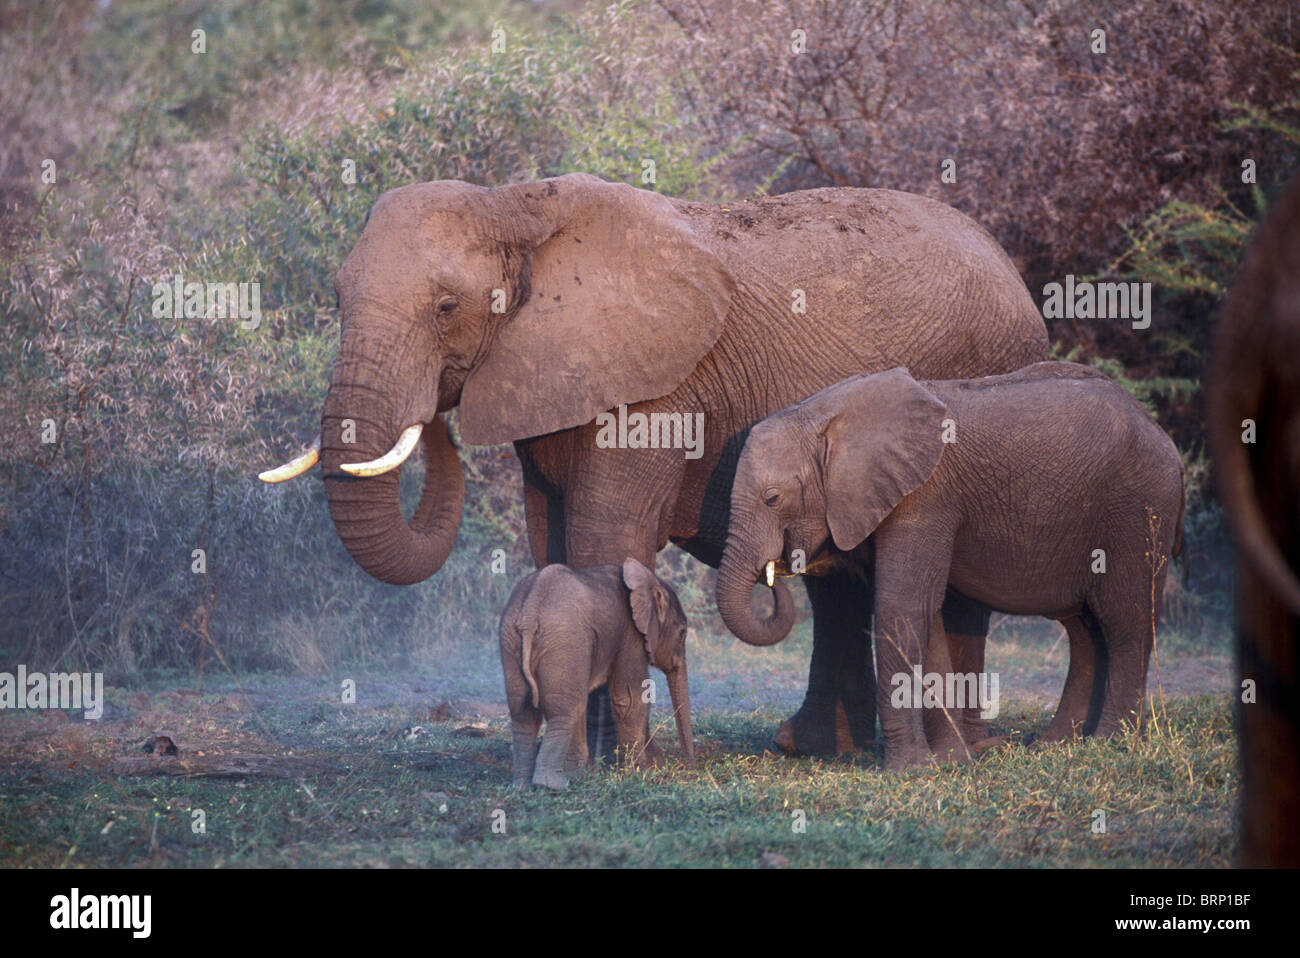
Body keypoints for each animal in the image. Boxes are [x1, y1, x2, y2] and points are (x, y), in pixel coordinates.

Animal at [259, 172, 1049, 760]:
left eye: (447, 306)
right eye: (336, 297)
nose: (434, 415)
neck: (516, 205)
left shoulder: (655, 388)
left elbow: (602, 540)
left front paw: (608, 758)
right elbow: (551, 542)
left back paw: (959, 749)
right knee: (839, 580)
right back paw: (815, 747)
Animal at [499, 558, 693, 790]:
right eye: (682, 633)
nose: (689, 763)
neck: (647, 581)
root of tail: (530, 611)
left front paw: (583, 773)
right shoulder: (631, 634)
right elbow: (630, 699)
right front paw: (640, 771)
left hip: (511, 639)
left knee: (524, 712)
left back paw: (522, 785)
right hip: (564, 641)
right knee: (563, 708)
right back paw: (551, 785)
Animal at [716, 362, 1185, 770]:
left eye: (772, 498)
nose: (776, 567)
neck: (827, 414)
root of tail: (1164, 438)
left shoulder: (923, 498)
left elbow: (902, 607)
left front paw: (907, 771)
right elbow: (929, 617)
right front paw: (949, 762)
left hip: (1140, 511)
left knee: (1124, 622)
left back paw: (1110, 742)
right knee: (1085, 629)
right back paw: (1059, 745)